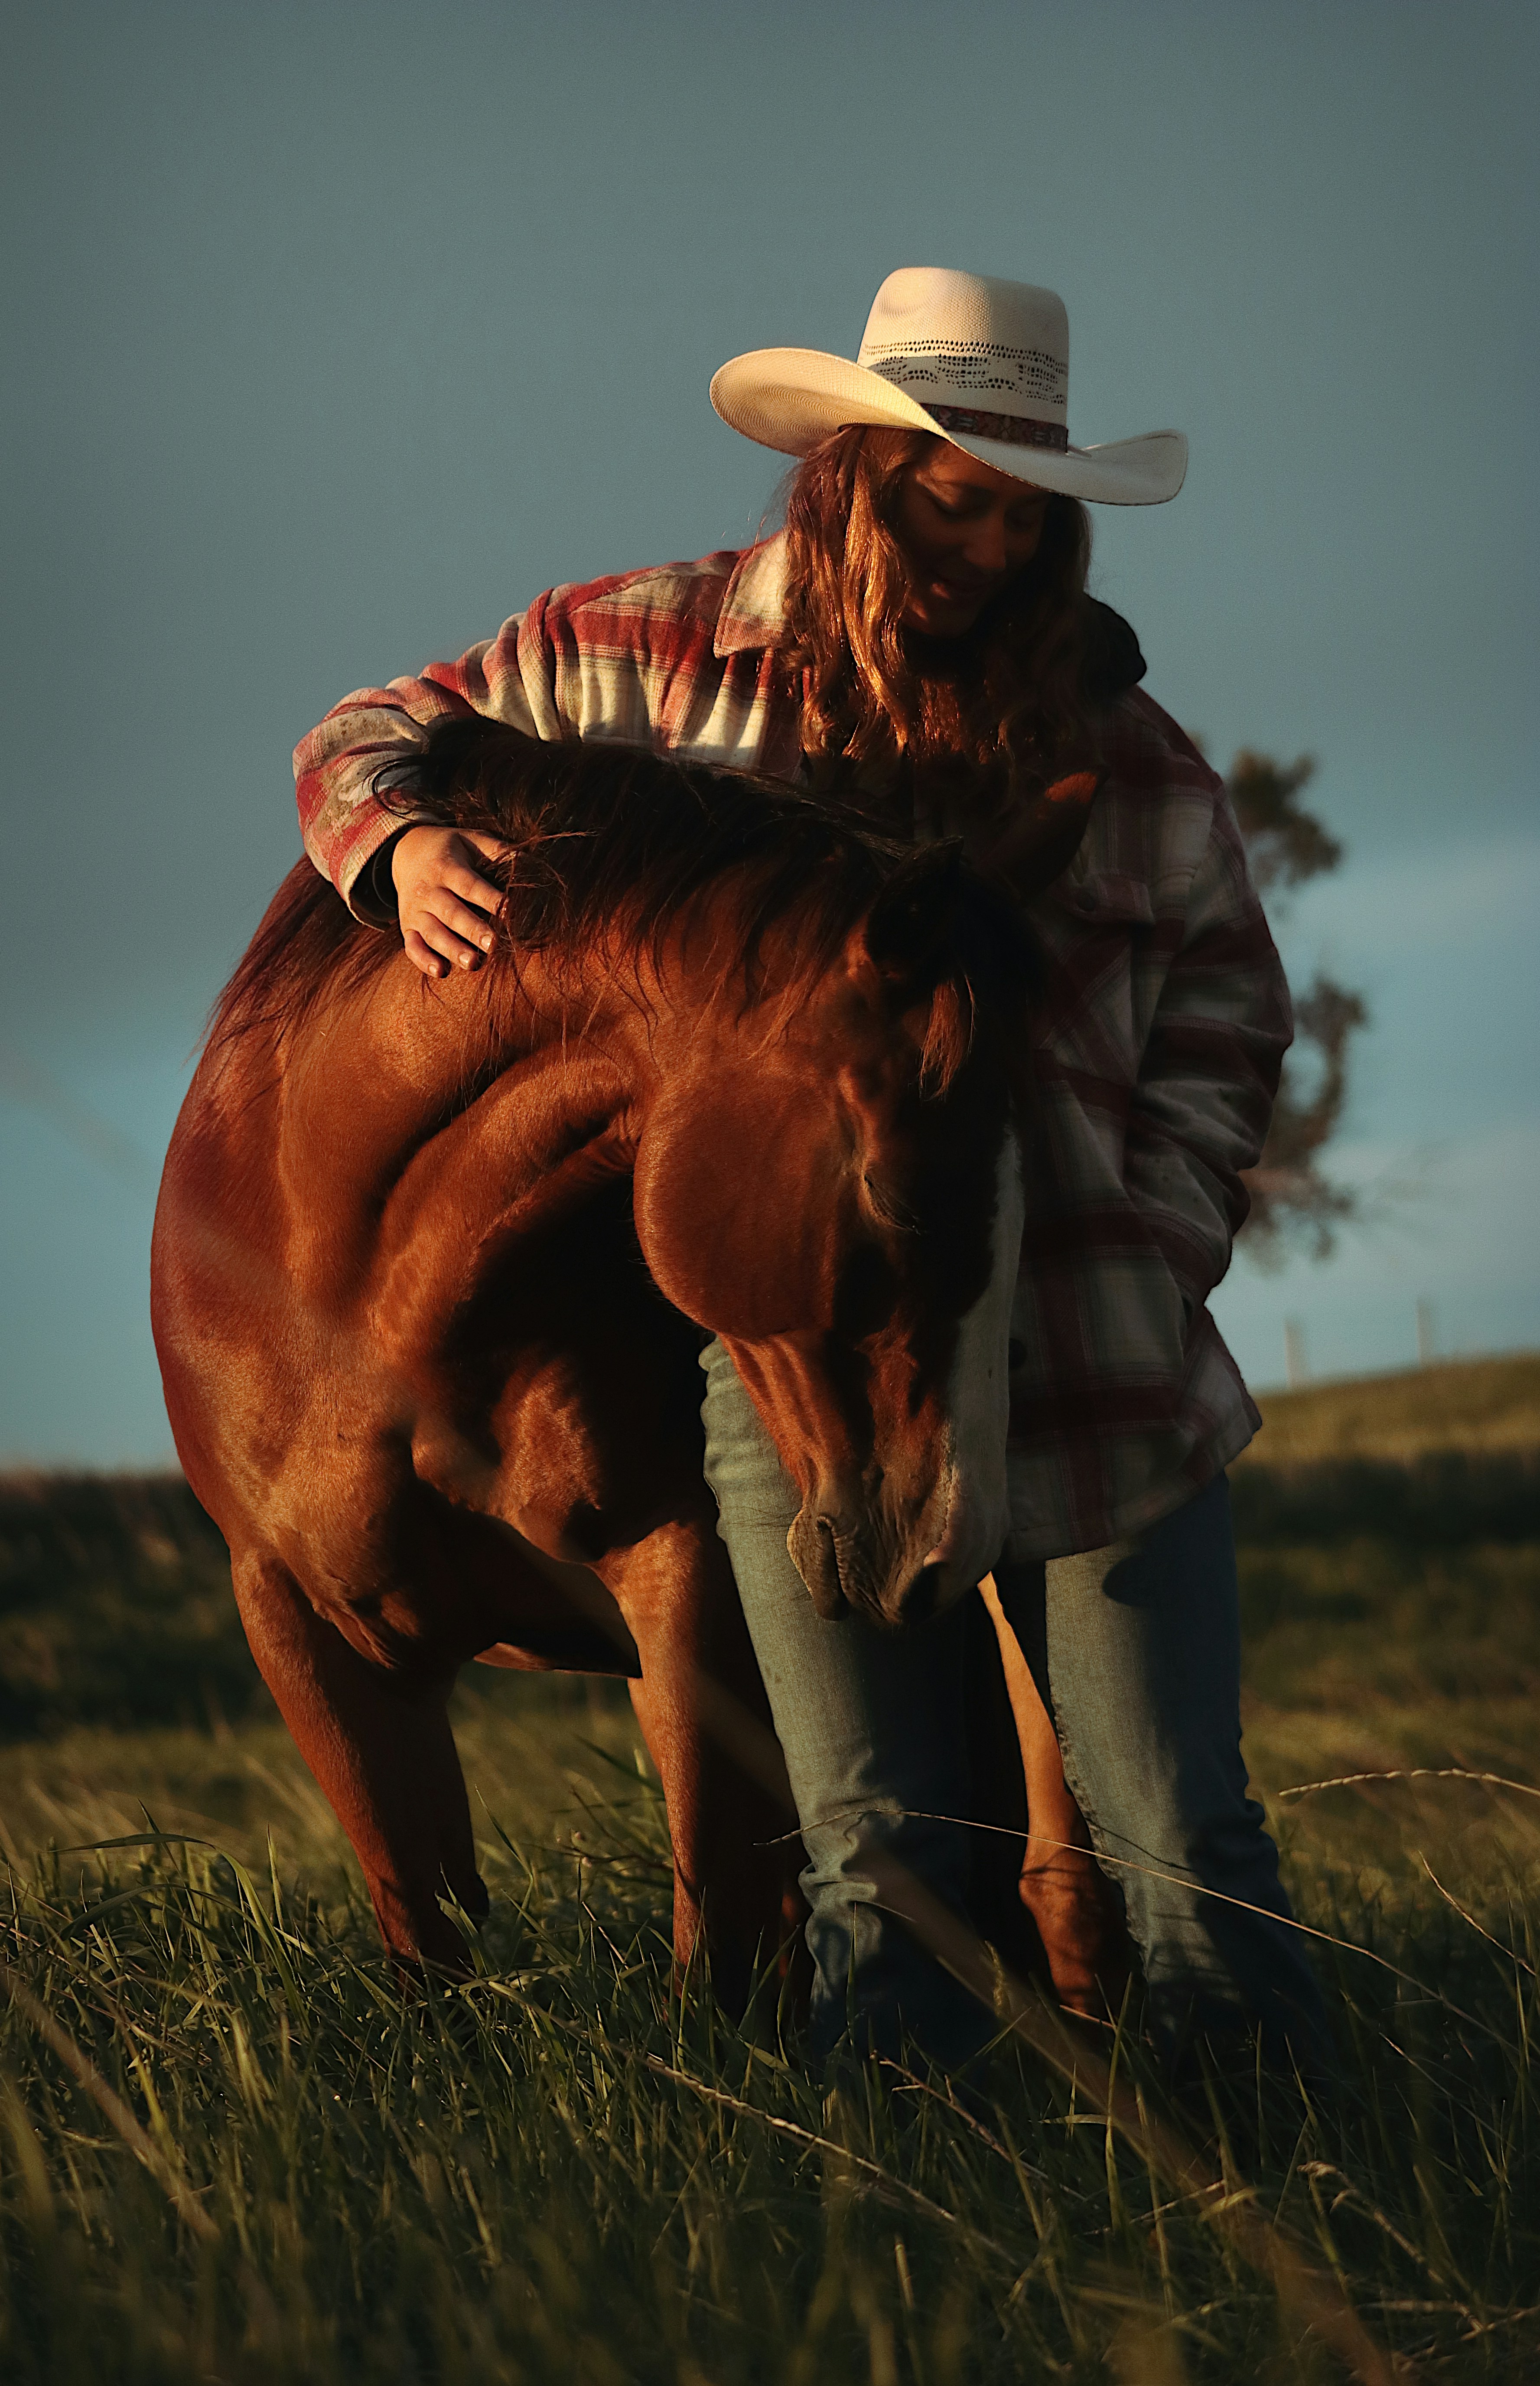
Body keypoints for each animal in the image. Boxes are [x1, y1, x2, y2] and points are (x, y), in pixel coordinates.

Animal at [151, 715, 1087, 2005]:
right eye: (895, 1196)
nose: (944, 1545)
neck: (363, 1303)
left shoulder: (683, 1579)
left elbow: (720, 1945)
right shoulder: (307, 1627)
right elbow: (426, 1943)